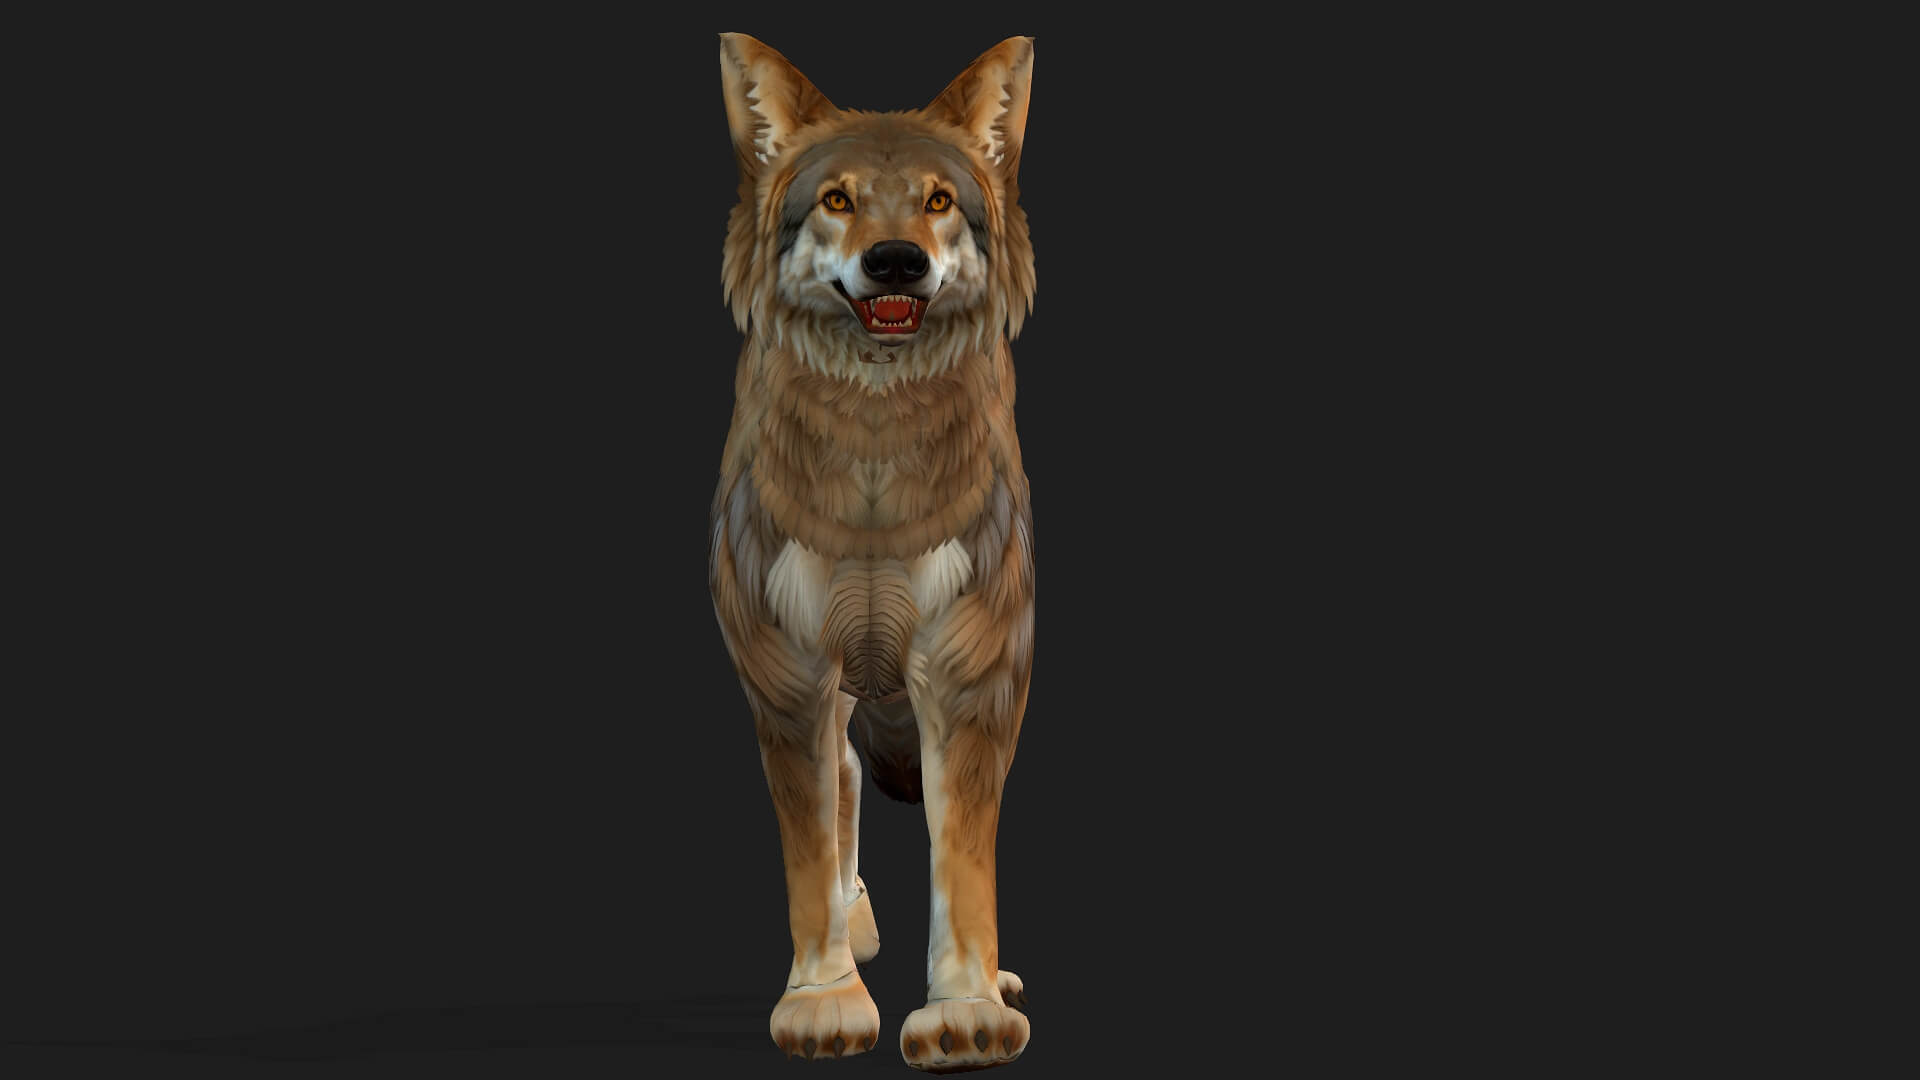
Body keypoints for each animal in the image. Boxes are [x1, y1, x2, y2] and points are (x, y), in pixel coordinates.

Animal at [708, 32, 1038, 1071]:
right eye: (838, 200)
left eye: (937, 202)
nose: (896, 262)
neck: (876, 449)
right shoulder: (789, 669)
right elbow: (812, 841)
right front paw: (823, 1001)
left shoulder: (973, 666)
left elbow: (962, 853)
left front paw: (968, 1009)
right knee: (848, 778)